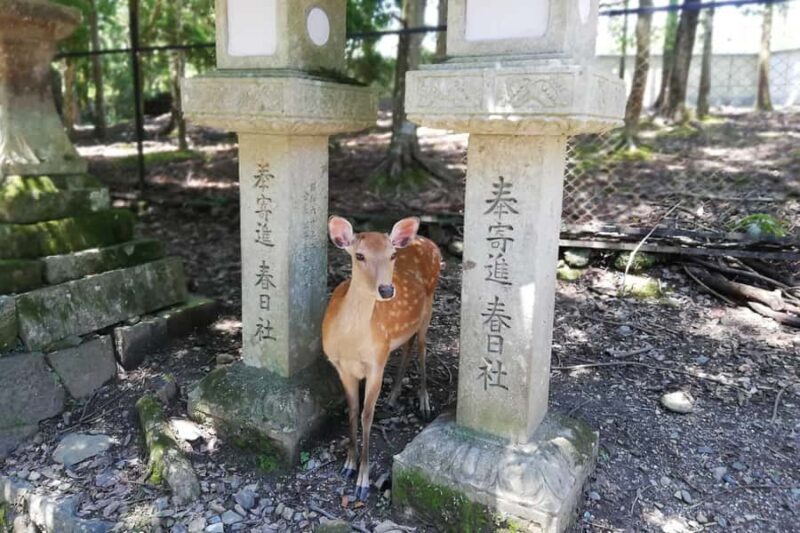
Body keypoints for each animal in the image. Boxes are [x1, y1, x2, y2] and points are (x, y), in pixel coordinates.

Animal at [322, 216, 441, 501]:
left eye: (392, 255)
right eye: (359, 255)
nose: (387, 290)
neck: (351, 343)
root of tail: (426, 240)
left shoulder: (376, 363)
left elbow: (367, 415)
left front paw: (363, 481)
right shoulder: (341, 366)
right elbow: (353, 411)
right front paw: (348, 465)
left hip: (428, 309)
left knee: (422, 349)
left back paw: (424, 403)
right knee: (408, 346)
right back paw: (394, 396)